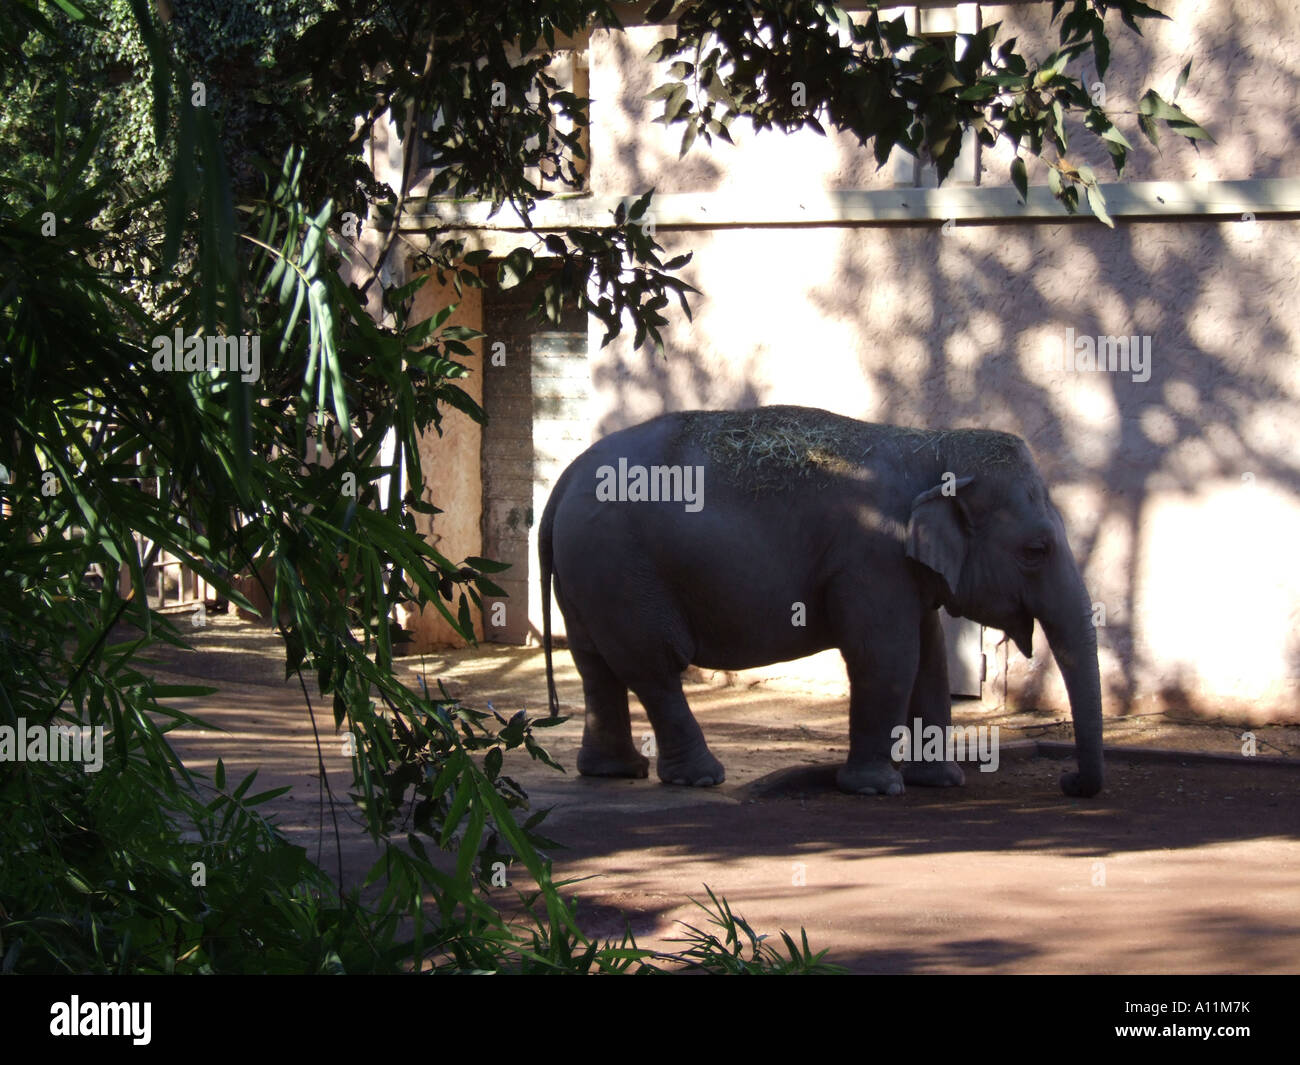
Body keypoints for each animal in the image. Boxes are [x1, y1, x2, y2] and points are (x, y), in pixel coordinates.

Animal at [539, 405, 1103, 798]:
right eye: (1035, 550)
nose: (1069, 784)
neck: (929, 445)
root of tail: (563, 479)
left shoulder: (903, 569)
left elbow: (931, 660)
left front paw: (941, 781)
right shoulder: (870, 557)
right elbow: (888, 657)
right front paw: (878, 788)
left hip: (588, 574)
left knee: (596, 665)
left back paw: (615, 771)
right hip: (621, 570)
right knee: (653, 666)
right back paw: (700, 778)